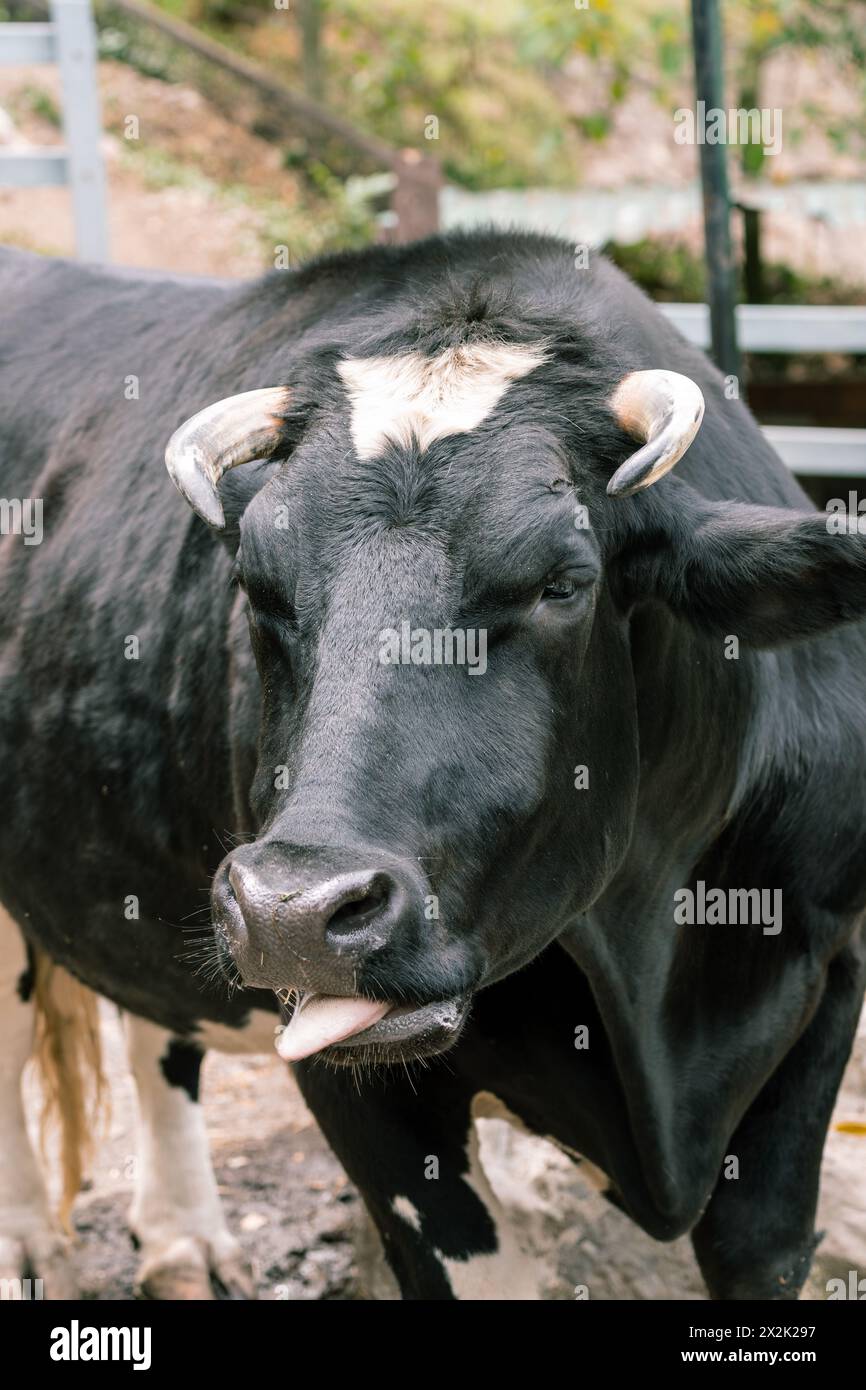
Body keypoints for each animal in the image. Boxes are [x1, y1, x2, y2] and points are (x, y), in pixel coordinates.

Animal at [0, 229, 864, 1302]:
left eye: (561, 582)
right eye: (254, 584)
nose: (291, 912)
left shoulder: (822, 984)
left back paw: (184, 1245)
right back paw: (29, 1243)